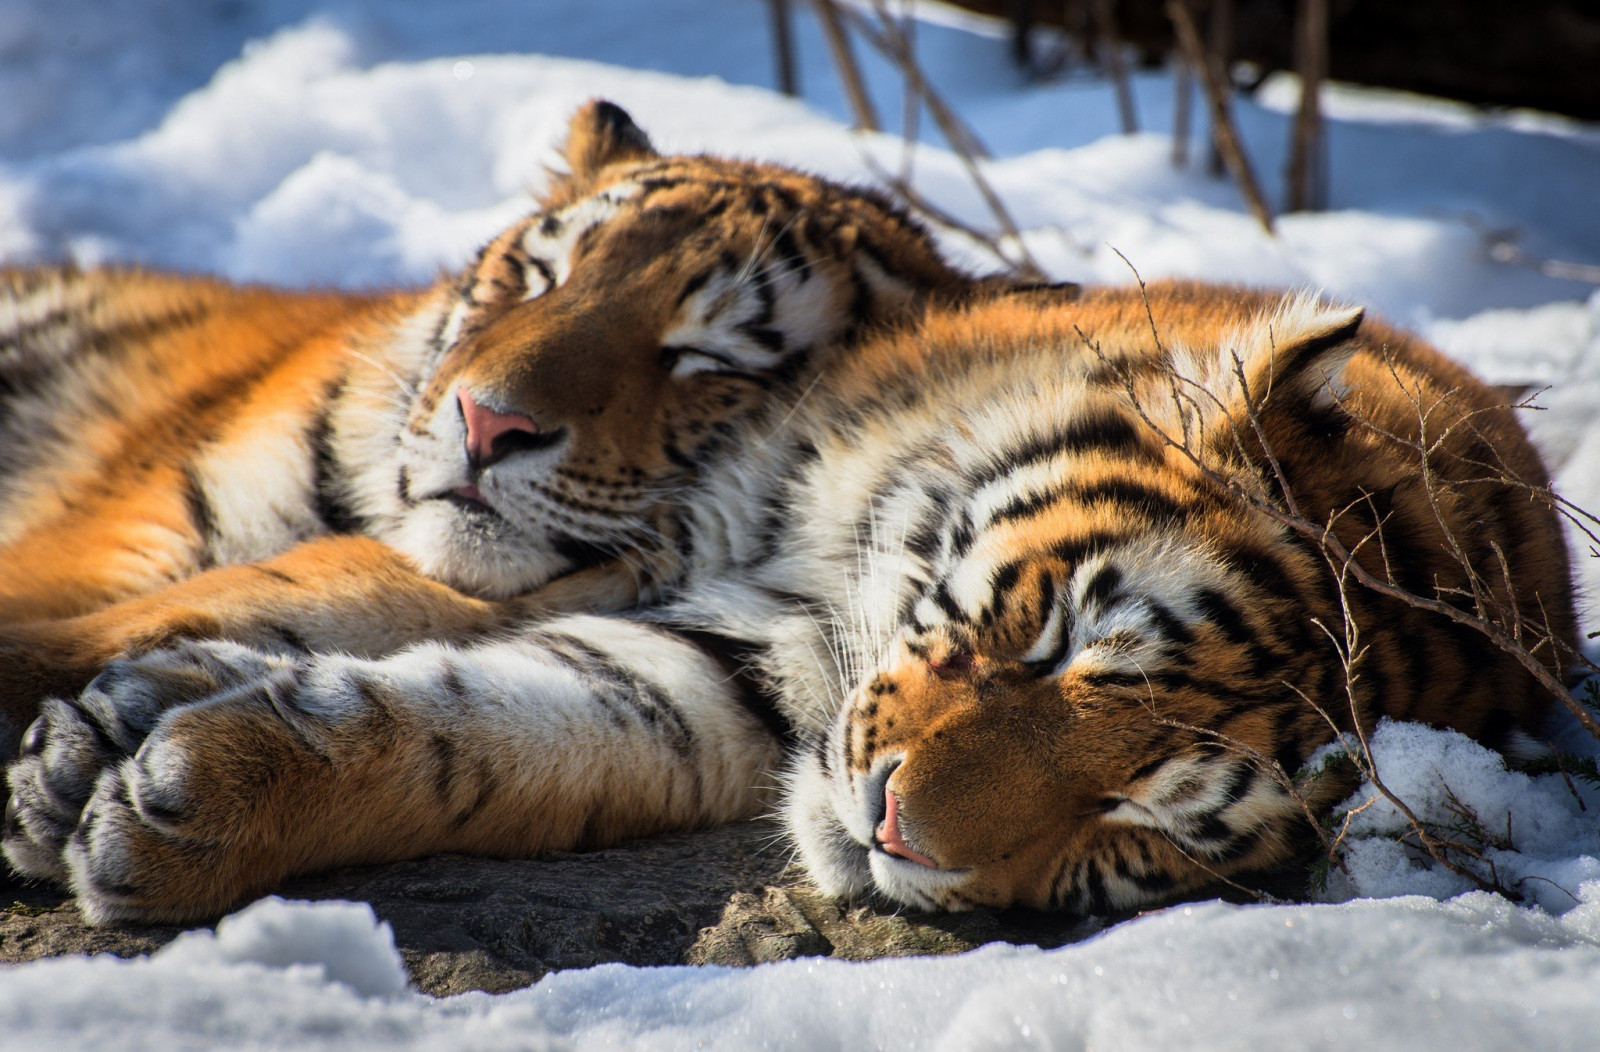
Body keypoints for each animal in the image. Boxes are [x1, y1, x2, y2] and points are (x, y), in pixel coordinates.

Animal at [4, 274, 1573, 925]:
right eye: (1057, 638)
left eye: (1138, 828)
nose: (892, 829)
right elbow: (311, 597)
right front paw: (98, 726)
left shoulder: (715, 679)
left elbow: (472, 733)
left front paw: (175, 802)